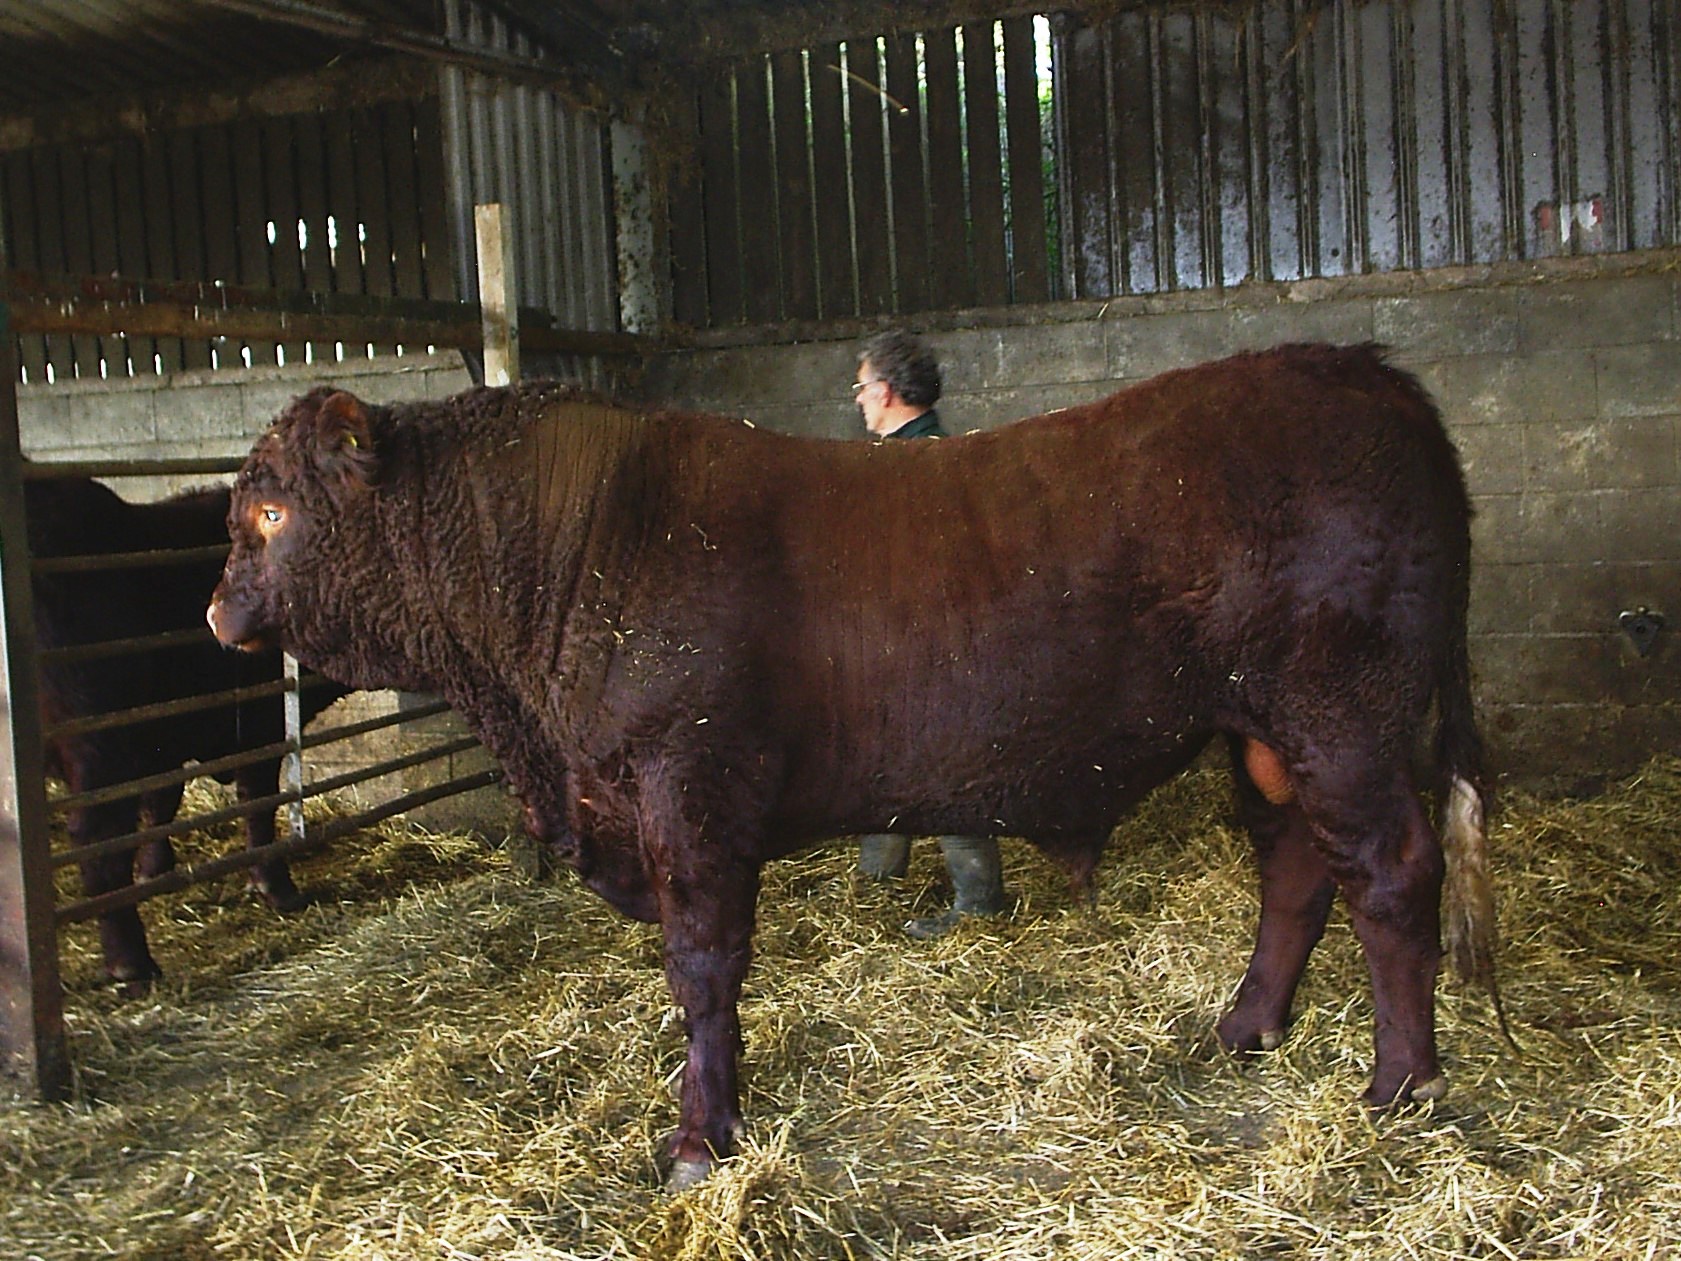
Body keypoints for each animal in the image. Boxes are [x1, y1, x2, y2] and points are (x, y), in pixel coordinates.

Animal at [27, 474, 348, 983]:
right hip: (98, 748)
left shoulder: (165, 740)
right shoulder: (258, 724)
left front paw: (154, 869)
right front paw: (276, 886)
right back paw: (131, 961)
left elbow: (163, 801)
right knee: (97, 839)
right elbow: (258, 803)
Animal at [207, 343, 1500, 1189]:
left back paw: (1400, 1084)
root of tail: (1357, 367)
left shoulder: (690, 792)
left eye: (270, 515)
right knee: (1296, 862)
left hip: (1343, 709)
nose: (219, 613)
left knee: (1392, 871)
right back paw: (1245, 1027)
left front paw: (700, 1142)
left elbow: (703, 971)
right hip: (1266, 728)